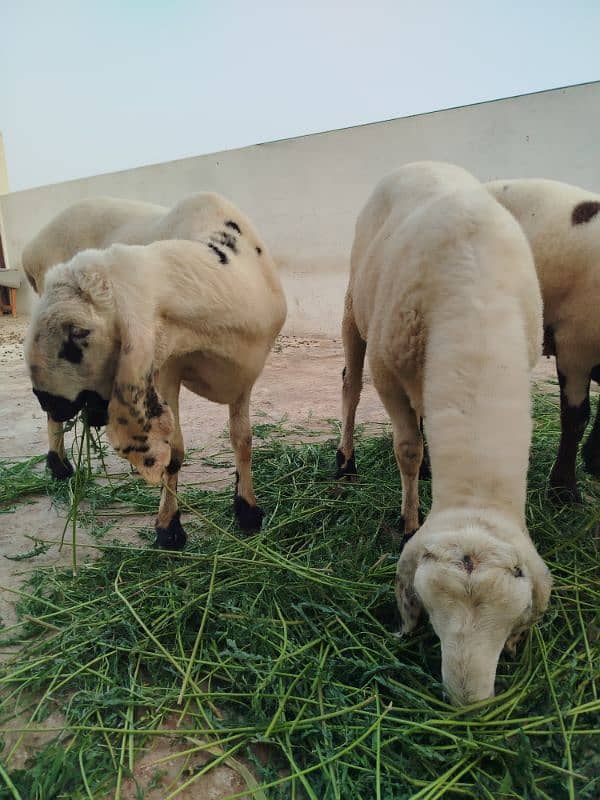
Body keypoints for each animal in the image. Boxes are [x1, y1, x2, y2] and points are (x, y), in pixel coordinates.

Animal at [24, 194, 287, 548]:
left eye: (78, 334)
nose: (43, 397)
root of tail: (31, 247)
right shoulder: (166, 372)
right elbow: (174, 452)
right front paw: (169, 528)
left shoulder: (244, 376)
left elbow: (243, 440)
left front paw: (247, 510)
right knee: (60, 422)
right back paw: (60, 465)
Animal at [336, 161, 551, 704]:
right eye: (432, 618)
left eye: (509, 623)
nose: (467, 703)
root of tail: (418, 164)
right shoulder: (388, 373)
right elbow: (406, 448)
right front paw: (409, 519)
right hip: (354, 308)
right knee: (349, 386)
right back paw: (345, 461)